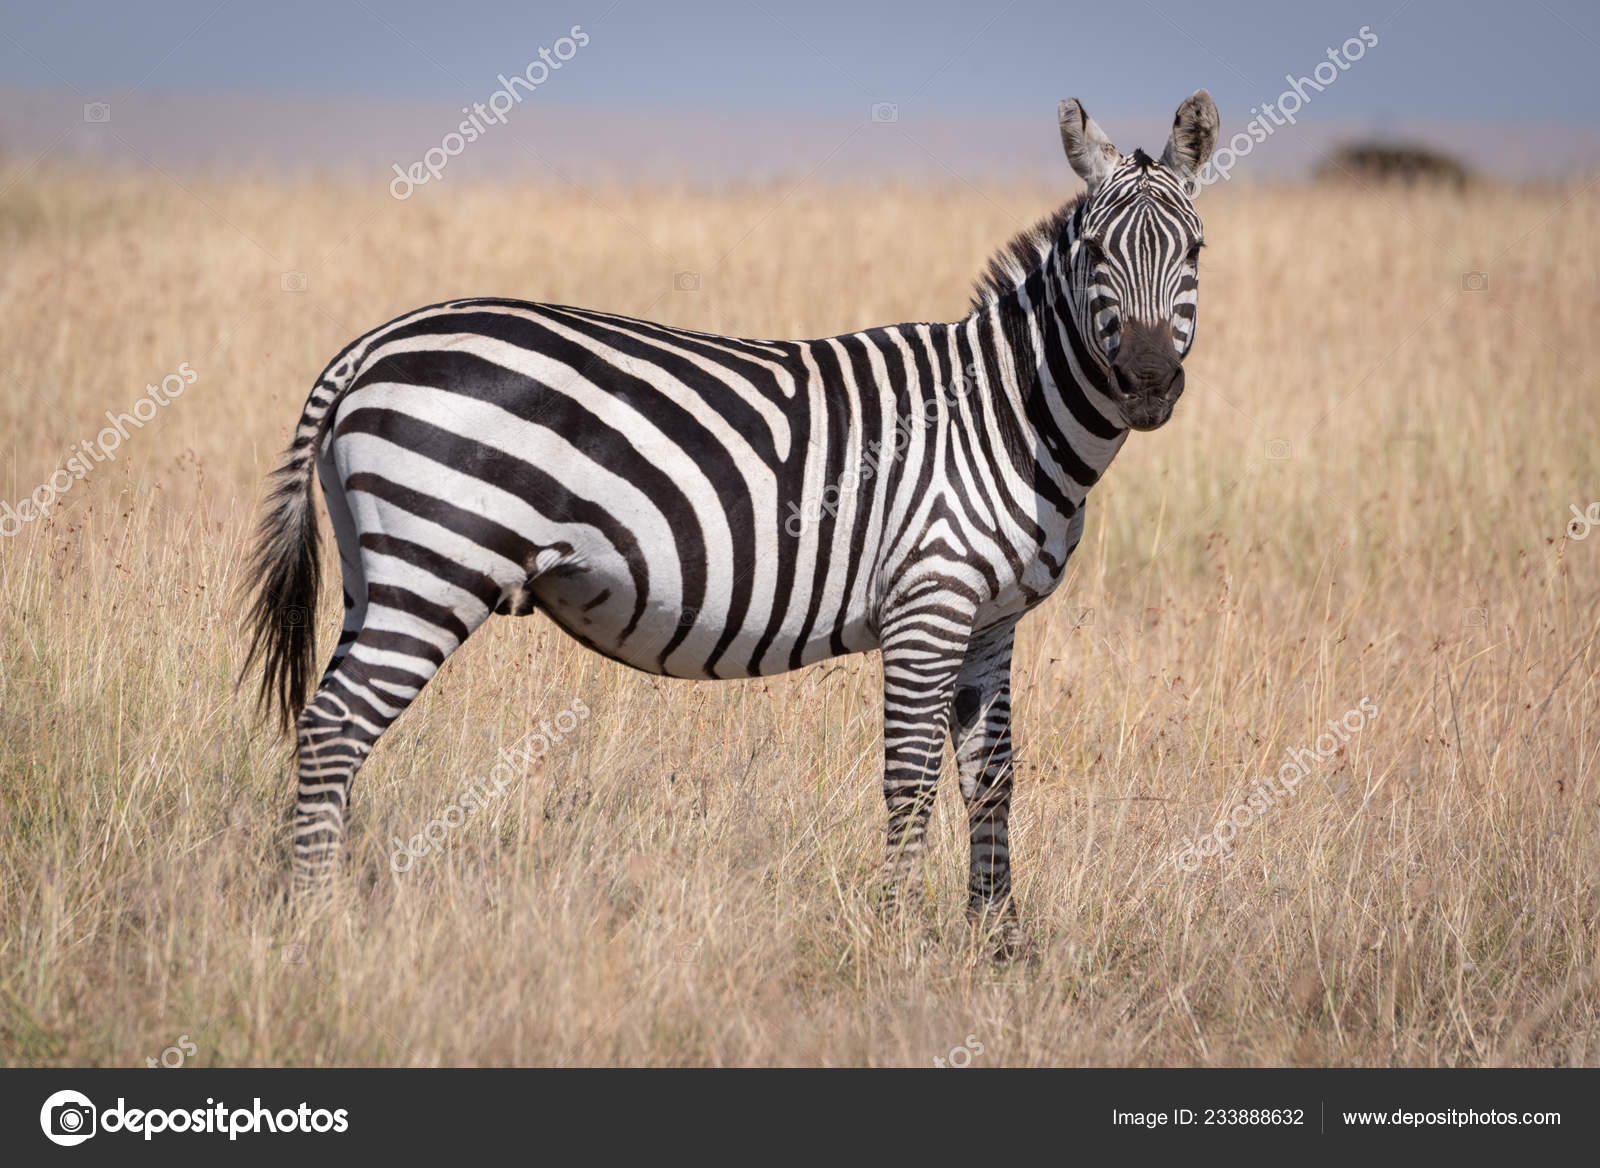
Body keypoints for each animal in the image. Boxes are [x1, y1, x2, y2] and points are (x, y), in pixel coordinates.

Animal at [242, 91, 1218, 955]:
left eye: (1196, 250)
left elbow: (992, 779)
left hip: (381, 568)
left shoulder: (991, 618)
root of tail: (374, 343)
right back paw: (317, 925)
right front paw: (897, 940)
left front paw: (1001, 944)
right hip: (433, 564)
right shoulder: (929, 599)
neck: (1005, 417)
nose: (1146, 384)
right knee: (333, 731)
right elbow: (910, 780)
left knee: (330, 726)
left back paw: (319, 901)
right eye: (1093, 251)